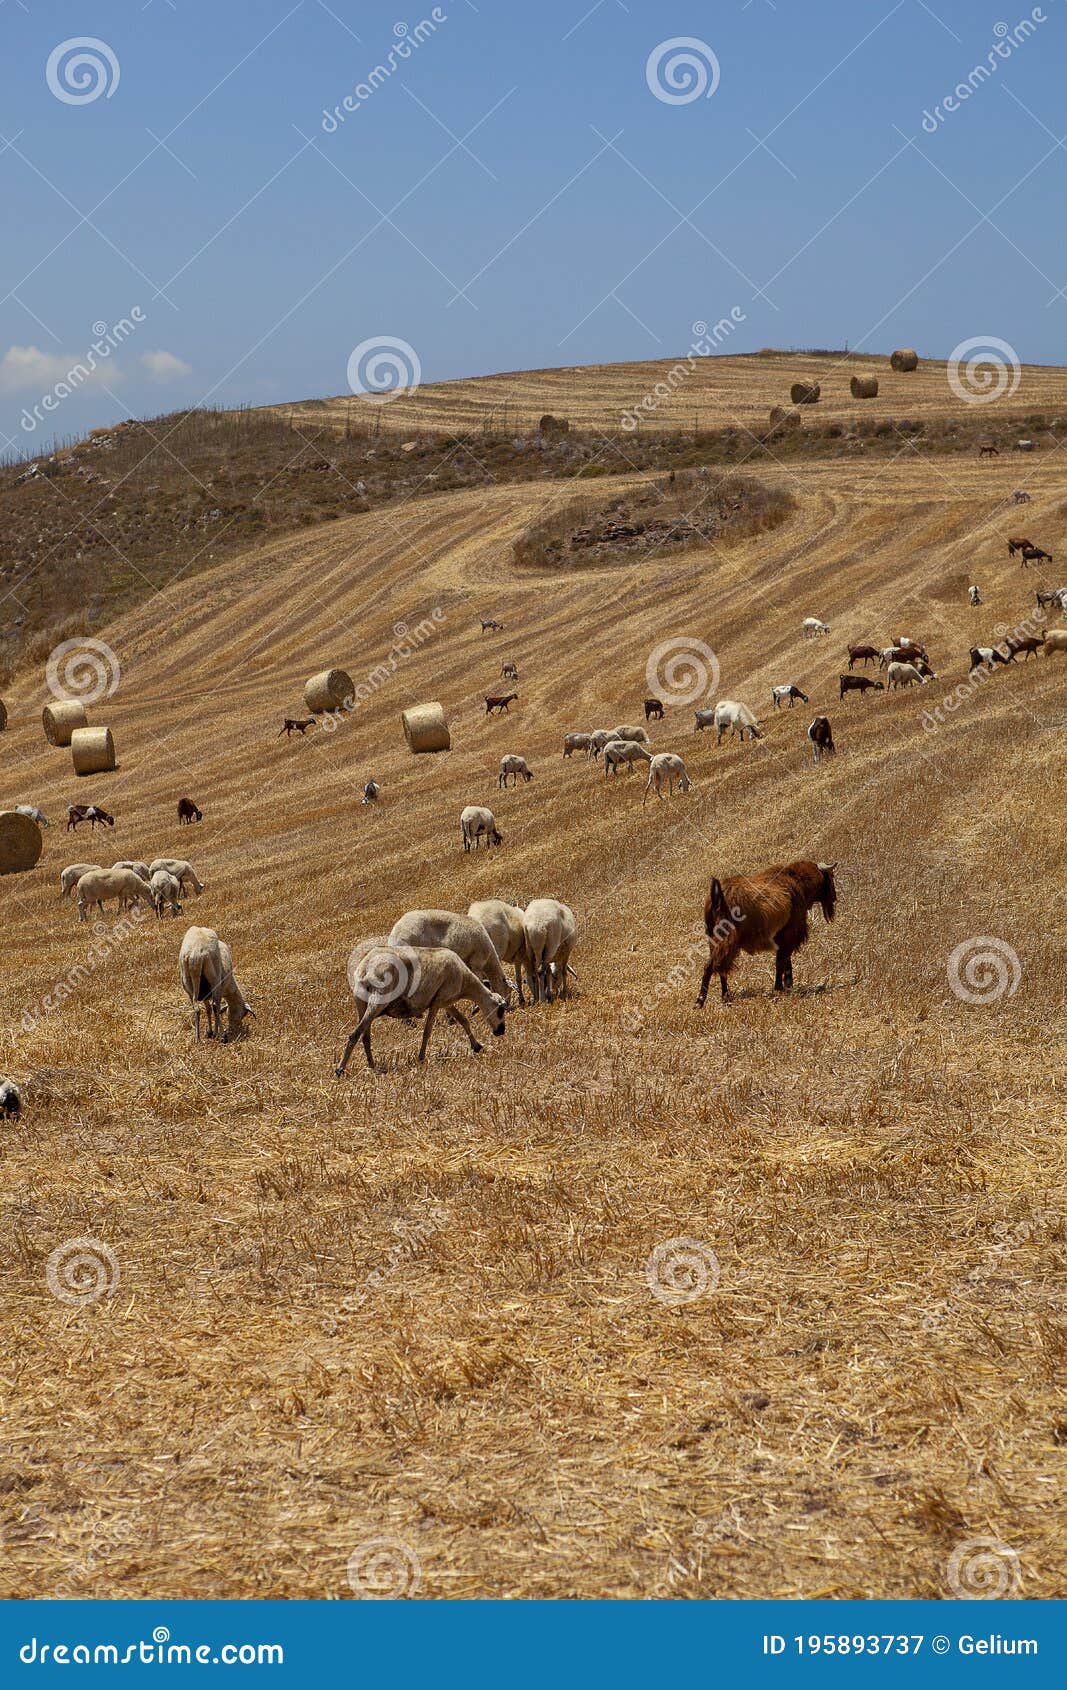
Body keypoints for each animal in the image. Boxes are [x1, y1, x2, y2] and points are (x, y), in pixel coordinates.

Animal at [337, 945, 507, 1073]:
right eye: (500, 1010)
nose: (501, 1031)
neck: (465, 982)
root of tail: (365, 968)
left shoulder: (446, 1002)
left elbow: (463, 1020)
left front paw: (476, 1046)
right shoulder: (437, 1002)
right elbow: (427, 1031)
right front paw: (421, 1057)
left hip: (360, 1001)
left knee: (365, 1036)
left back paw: (372, 1066)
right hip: (378, 998)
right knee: (356, 1033)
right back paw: (340, 1069)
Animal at [697, 860, 837, 1005]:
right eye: (832, 876)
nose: (834, 897)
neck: (796, 881)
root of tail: (718, 896)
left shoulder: (781, 935)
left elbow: (785, 959)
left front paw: (787, 984)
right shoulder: (790, 932)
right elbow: (781, 960)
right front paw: (780, 987)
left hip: (713, 938)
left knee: (720, 967)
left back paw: (725, 996)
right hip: (726, 938)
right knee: (713, 965)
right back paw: (701, 1000)